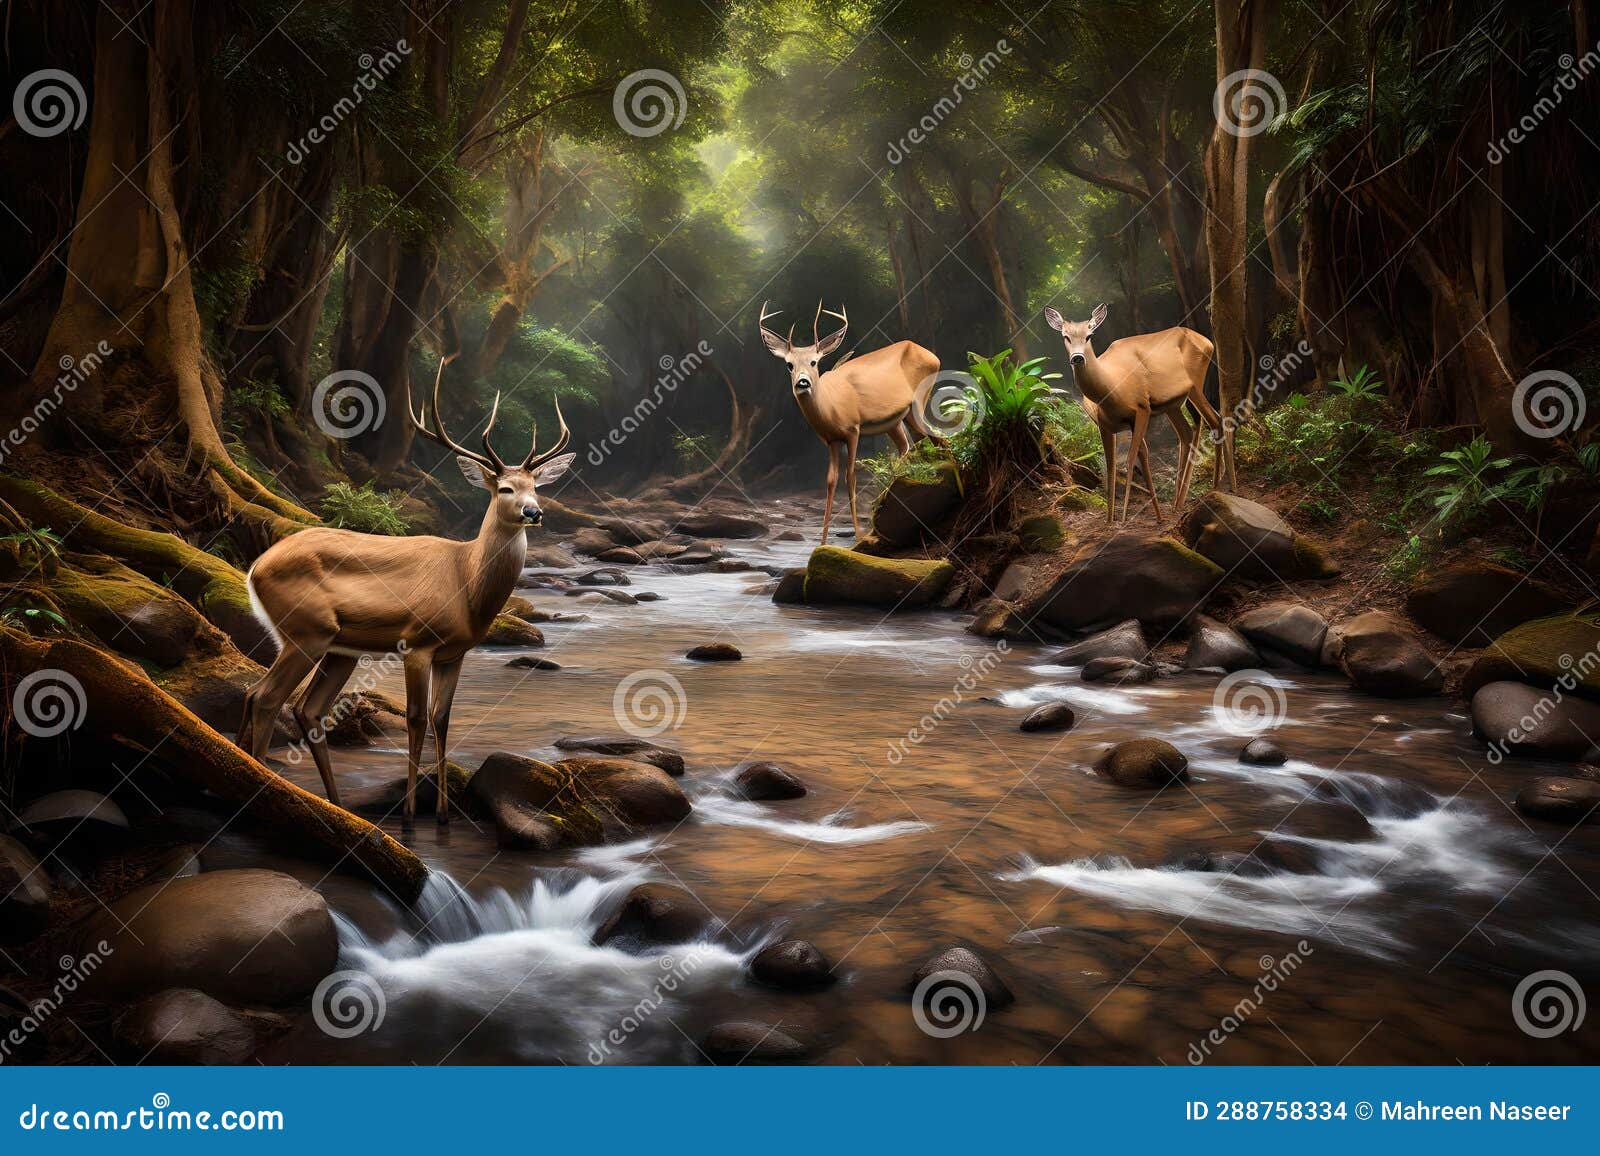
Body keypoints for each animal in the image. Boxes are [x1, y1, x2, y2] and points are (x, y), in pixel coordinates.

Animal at [237, 357, 575, 824]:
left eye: (536, 487)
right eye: (505, 488)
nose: (533, 512)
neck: (467, 583)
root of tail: (254, 568)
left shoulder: (455, 652)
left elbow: (442, 719)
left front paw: (445, 814)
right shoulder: (417, 642)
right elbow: (416, 719)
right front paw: (413, 813)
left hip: (339, 648)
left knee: (301, 706)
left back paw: (333, 802)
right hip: (306, 630)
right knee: (267, 697)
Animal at [759, 301, 938, 544]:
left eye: (814, 362)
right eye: (789, 364)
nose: (803, 382)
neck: (831, 408)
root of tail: (931, 355)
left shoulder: (853, 430)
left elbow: (850, 476)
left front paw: (858, 536)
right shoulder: (831, 440)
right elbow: (830, 480)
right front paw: (823, 542)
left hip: (919, 401)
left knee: (936, 435)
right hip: (897, 419)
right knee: (907, 446)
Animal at [1044, 304, 1231, 525]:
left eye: (1089, 335)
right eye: (1065, 336)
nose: (1078, 357)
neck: (1111, 389)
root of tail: (1208, 341)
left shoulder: (1142, 409)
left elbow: (1132, 459)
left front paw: (1126, 517)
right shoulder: (1104, 425)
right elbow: (1112, 465)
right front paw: (1110, 519)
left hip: (1195, 383)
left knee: (1215, 420)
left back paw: (1220, 486)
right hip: (1172, 404)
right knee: (1187, 432)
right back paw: (1178, 502)